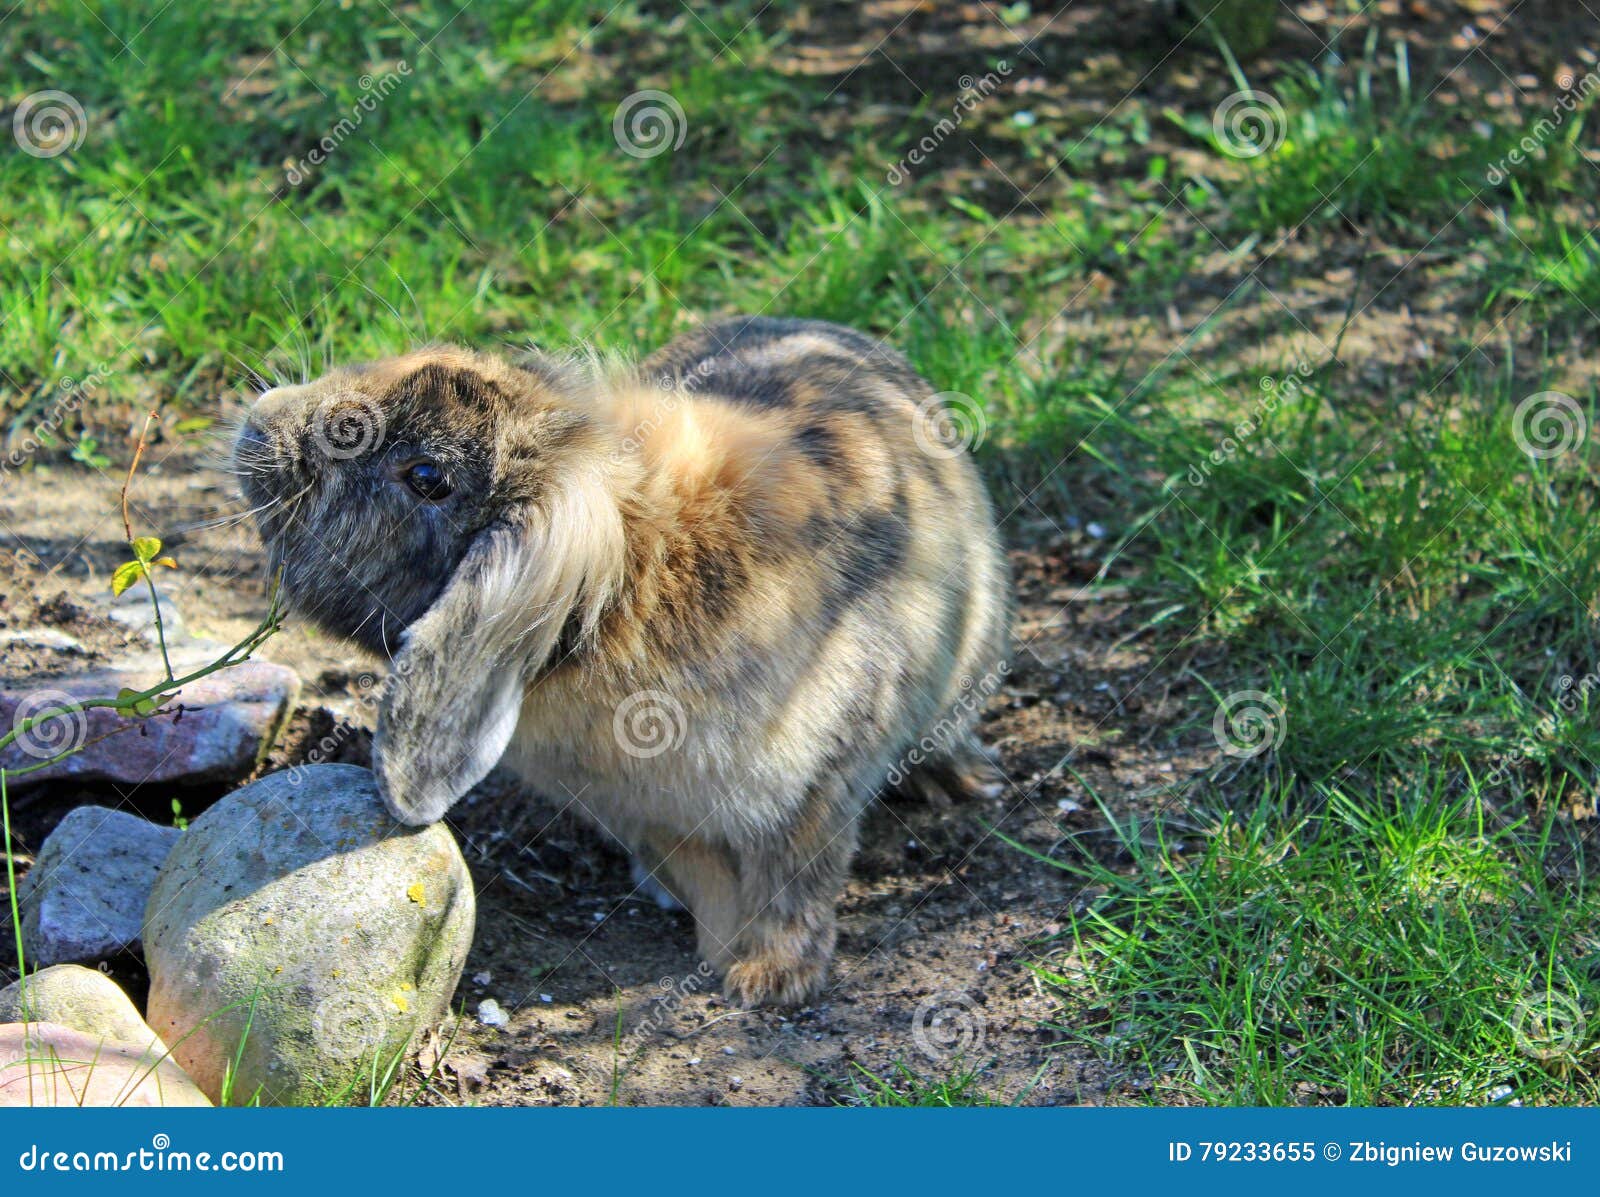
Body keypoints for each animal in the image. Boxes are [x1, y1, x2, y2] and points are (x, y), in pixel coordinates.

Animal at [234, 316, 1013, 1007]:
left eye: (426, 476)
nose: (261, 423)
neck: (629, 585)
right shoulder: (647, 813)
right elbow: (701, 869)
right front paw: (716, 942)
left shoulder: (820, 785)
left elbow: (797, 881)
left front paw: (767, 979)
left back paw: (962, 779)